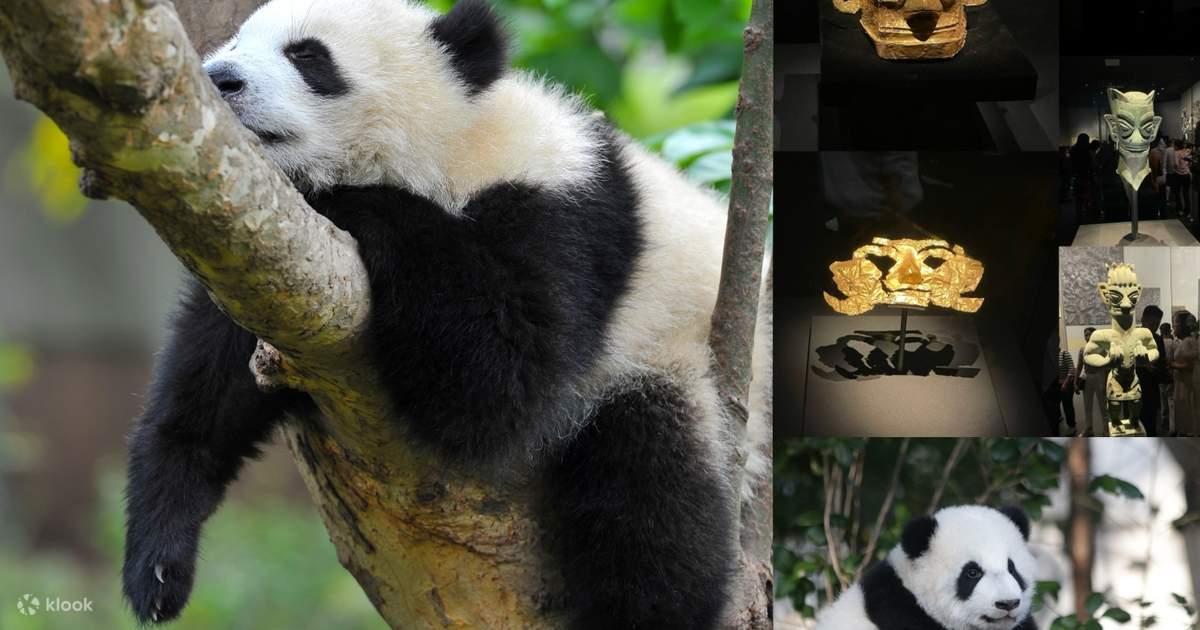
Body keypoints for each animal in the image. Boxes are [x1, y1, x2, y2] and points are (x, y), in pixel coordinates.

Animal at [120, 0, 771, 628]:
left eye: (308, 55)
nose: (220, 77)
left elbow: (504, 380)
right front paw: (159, 563)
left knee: (652, 500)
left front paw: (347, 200)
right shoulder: (267, 260)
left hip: (679, 363)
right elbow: (210, 383)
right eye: (235, 41)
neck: (445, 143)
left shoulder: (568, 214)